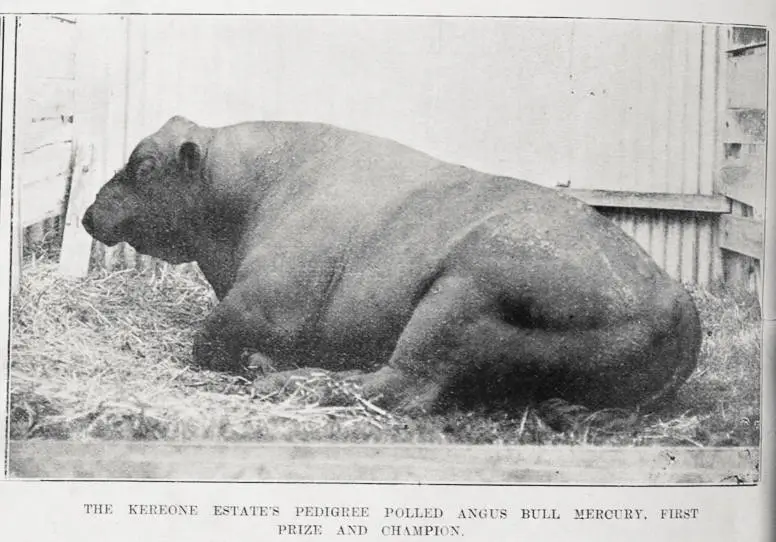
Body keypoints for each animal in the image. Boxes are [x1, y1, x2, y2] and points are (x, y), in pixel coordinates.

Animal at [82, 116, 701, 415]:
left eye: (144, 166)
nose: (90, 212)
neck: (245, 186)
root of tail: (676, 307)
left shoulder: (267, 301)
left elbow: (208, 342)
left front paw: (260, 362)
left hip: (457, 296)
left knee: (404, 384)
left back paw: (286, 381)